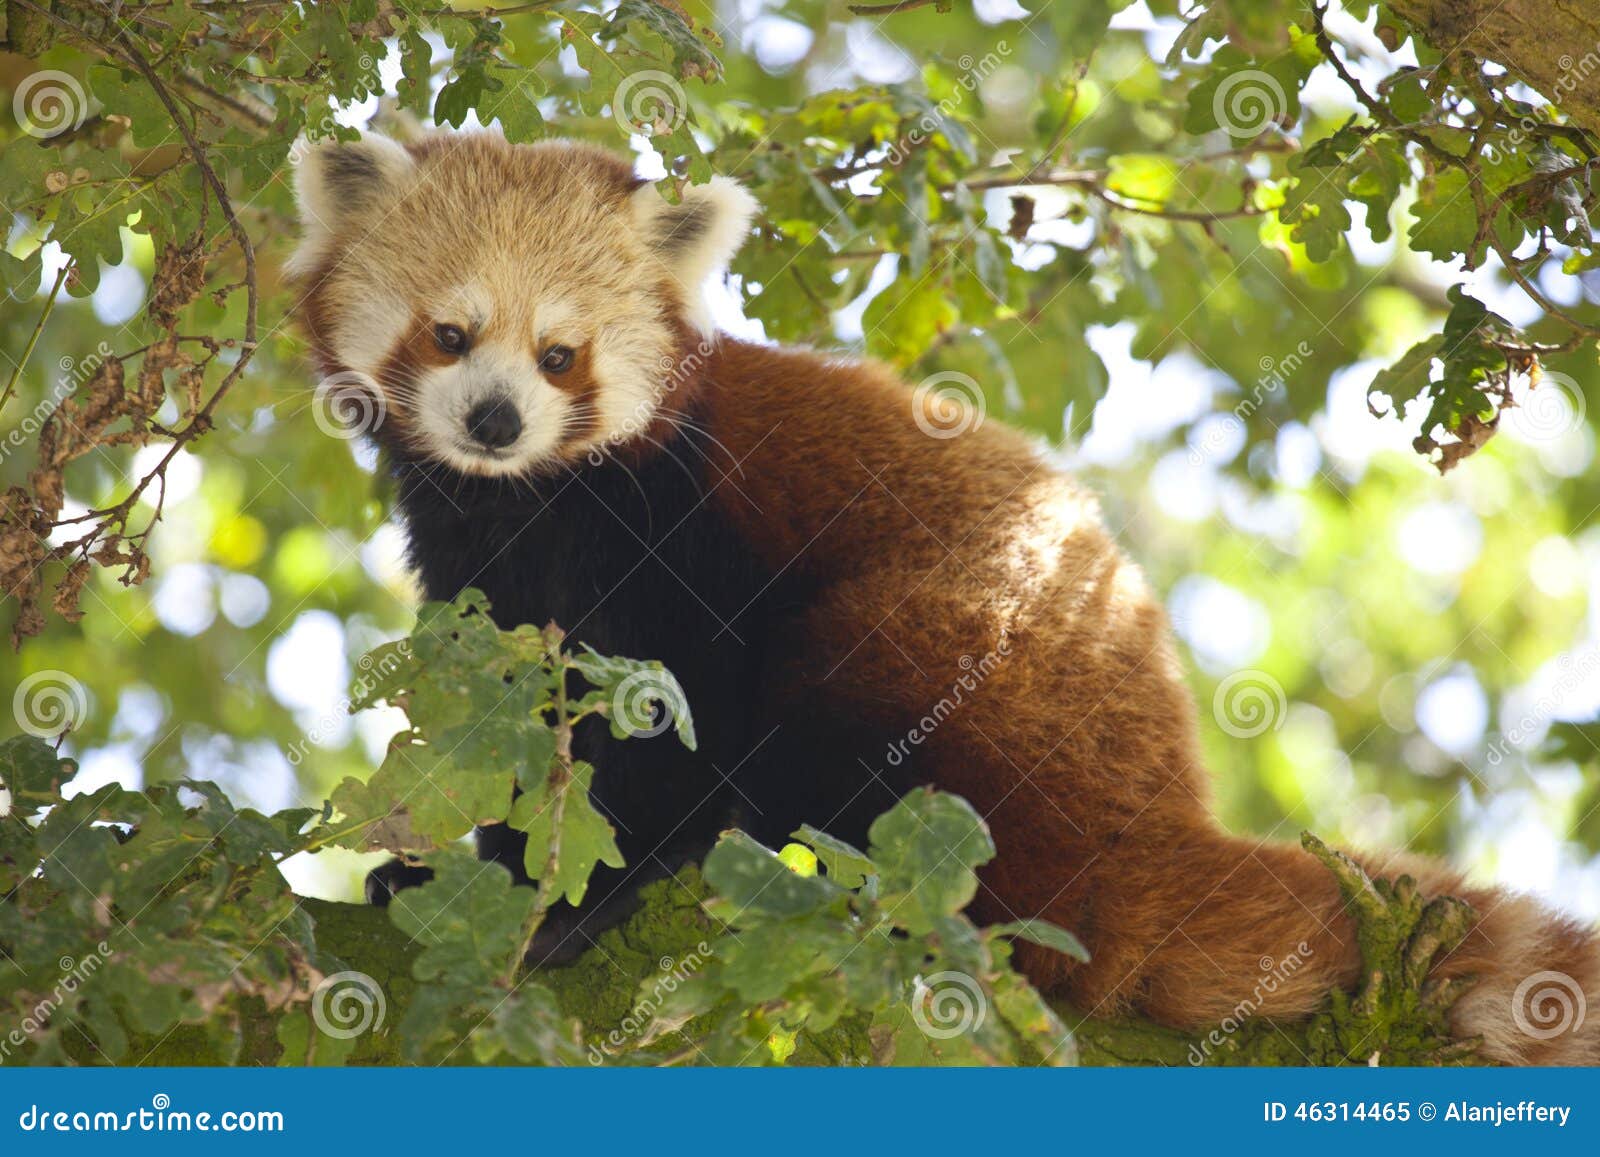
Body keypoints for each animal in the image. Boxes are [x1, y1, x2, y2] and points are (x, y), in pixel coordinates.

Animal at [289, 130, 1599, 1064]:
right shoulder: (483, 559)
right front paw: (475, 875)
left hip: (972, 672)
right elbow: (524, 721)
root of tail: (1164, 820)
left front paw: (597, 895)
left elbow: (670, 719)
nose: (494, 419)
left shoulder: (684, 525)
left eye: (561, 355)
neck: (536, 497)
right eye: (450, 334)